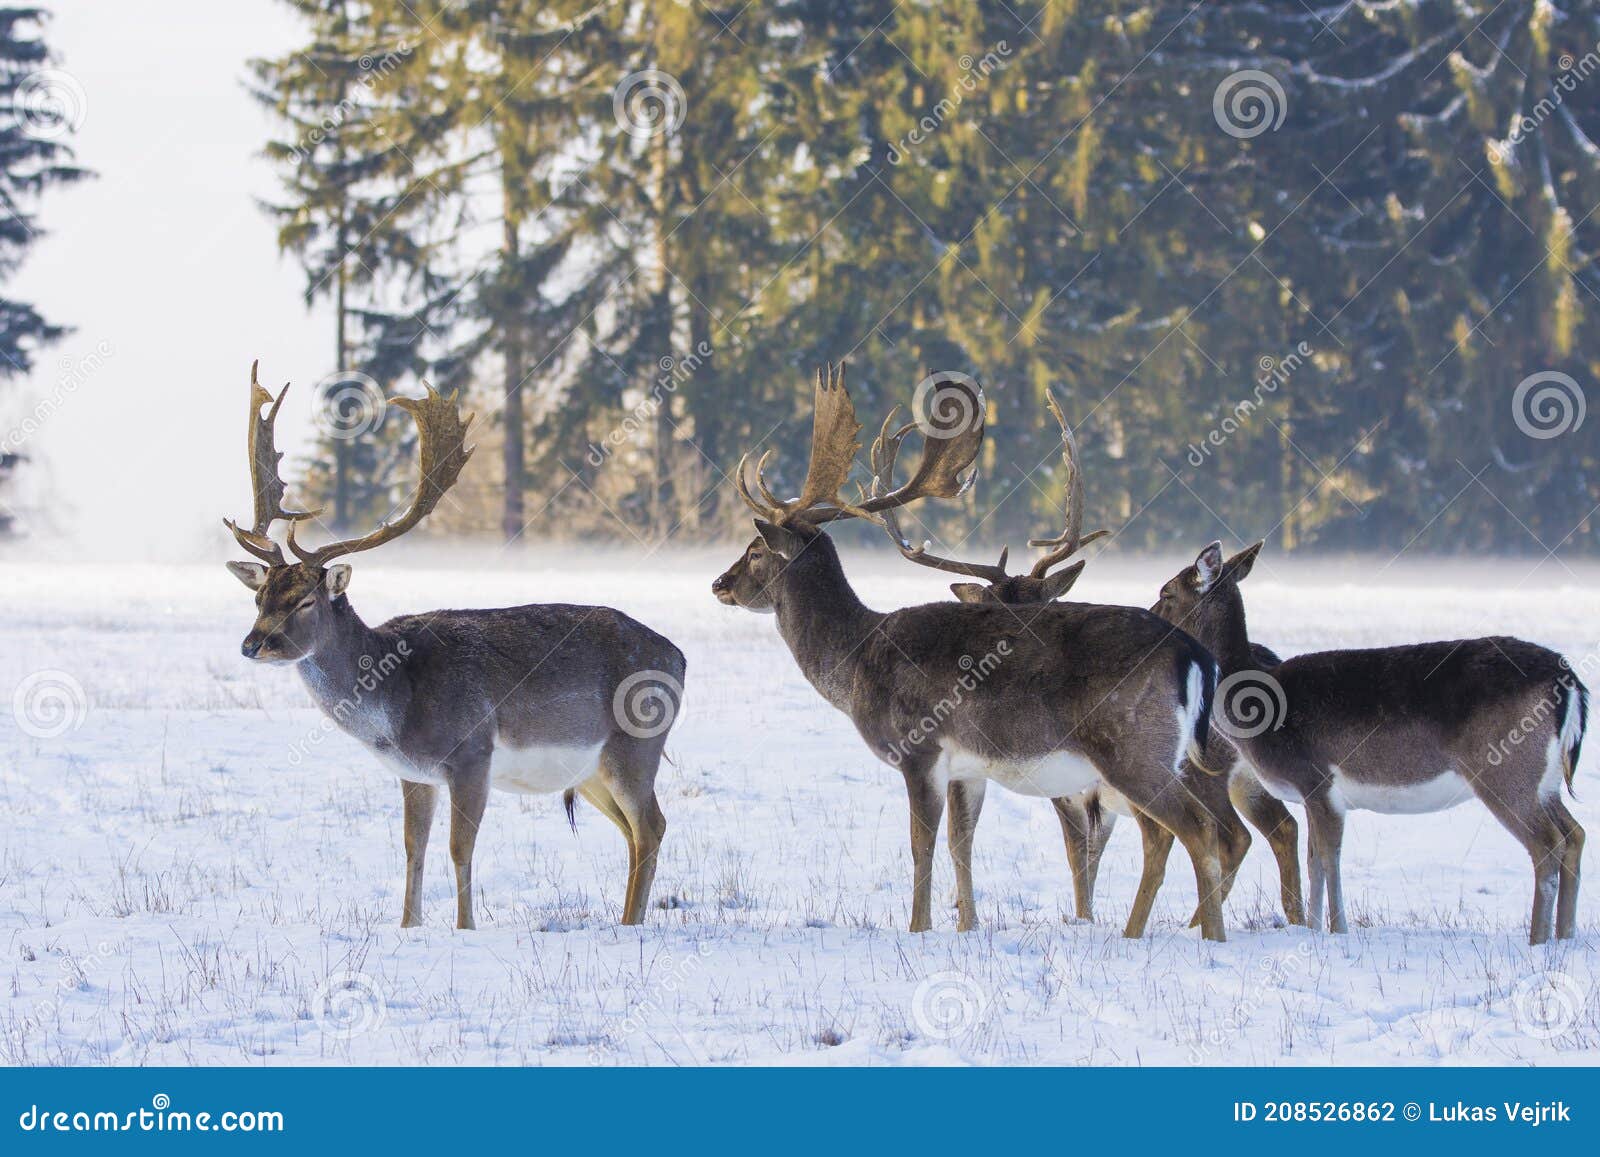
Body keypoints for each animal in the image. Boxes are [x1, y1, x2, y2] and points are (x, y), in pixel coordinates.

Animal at [224, 361, 683, 929]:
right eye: (260, 595)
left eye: (305, 600)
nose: (253, 644)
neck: (396, 706)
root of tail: (678, 656)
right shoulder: (414, 774)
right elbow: (412, 848)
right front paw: (408, 925)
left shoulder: (471, 752)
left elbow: (459, 848)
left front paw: (466, 928)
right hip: (592, 769)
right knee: (633, 833)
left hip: (635, 743)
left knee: (652, 826)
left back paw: (629, 924)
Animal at [712, 365, 1233, 940]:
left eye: (755, 552)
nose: (720, 584)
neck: (857, 660)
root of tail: (1195, 655)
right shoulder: (969, 767)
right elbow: (960, 844)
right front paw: (966, 924)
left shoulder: (920, 746)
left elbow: (921, 847)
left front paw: (918, 928)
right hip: (1161, 757)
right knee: (1174, 835)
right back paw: (1144, 931)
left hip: (1134, 748)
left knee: (1199, 830)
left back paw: (1208, 937)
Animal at [877, 394, 1305, 929]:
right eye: (992, 611)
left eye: (1047, 607)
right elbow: (1008, 843)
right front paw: (968, 919)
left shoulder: (1075, 783)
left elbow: (1078, 852)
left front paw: (1080, 919)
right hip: (1241, 778)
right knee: (1278, 827)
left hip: (1191, 769)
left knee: (1216, 834)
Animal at [1153, 540, 1587, 944]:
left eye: (1167, 592)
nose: (1147, 619)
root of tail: (1571, 685)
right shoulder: (1314, 794)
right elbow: (1316, 860)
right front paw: (1315, 930)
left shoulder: (1317, 778)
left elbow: (1329, 859)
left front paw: (1337, 930)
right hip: (1544, 780)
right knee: (1574, 833)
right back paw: (1565, 934)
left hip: (1504, 769)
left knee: (1547, 843)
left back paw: (1538, 938)